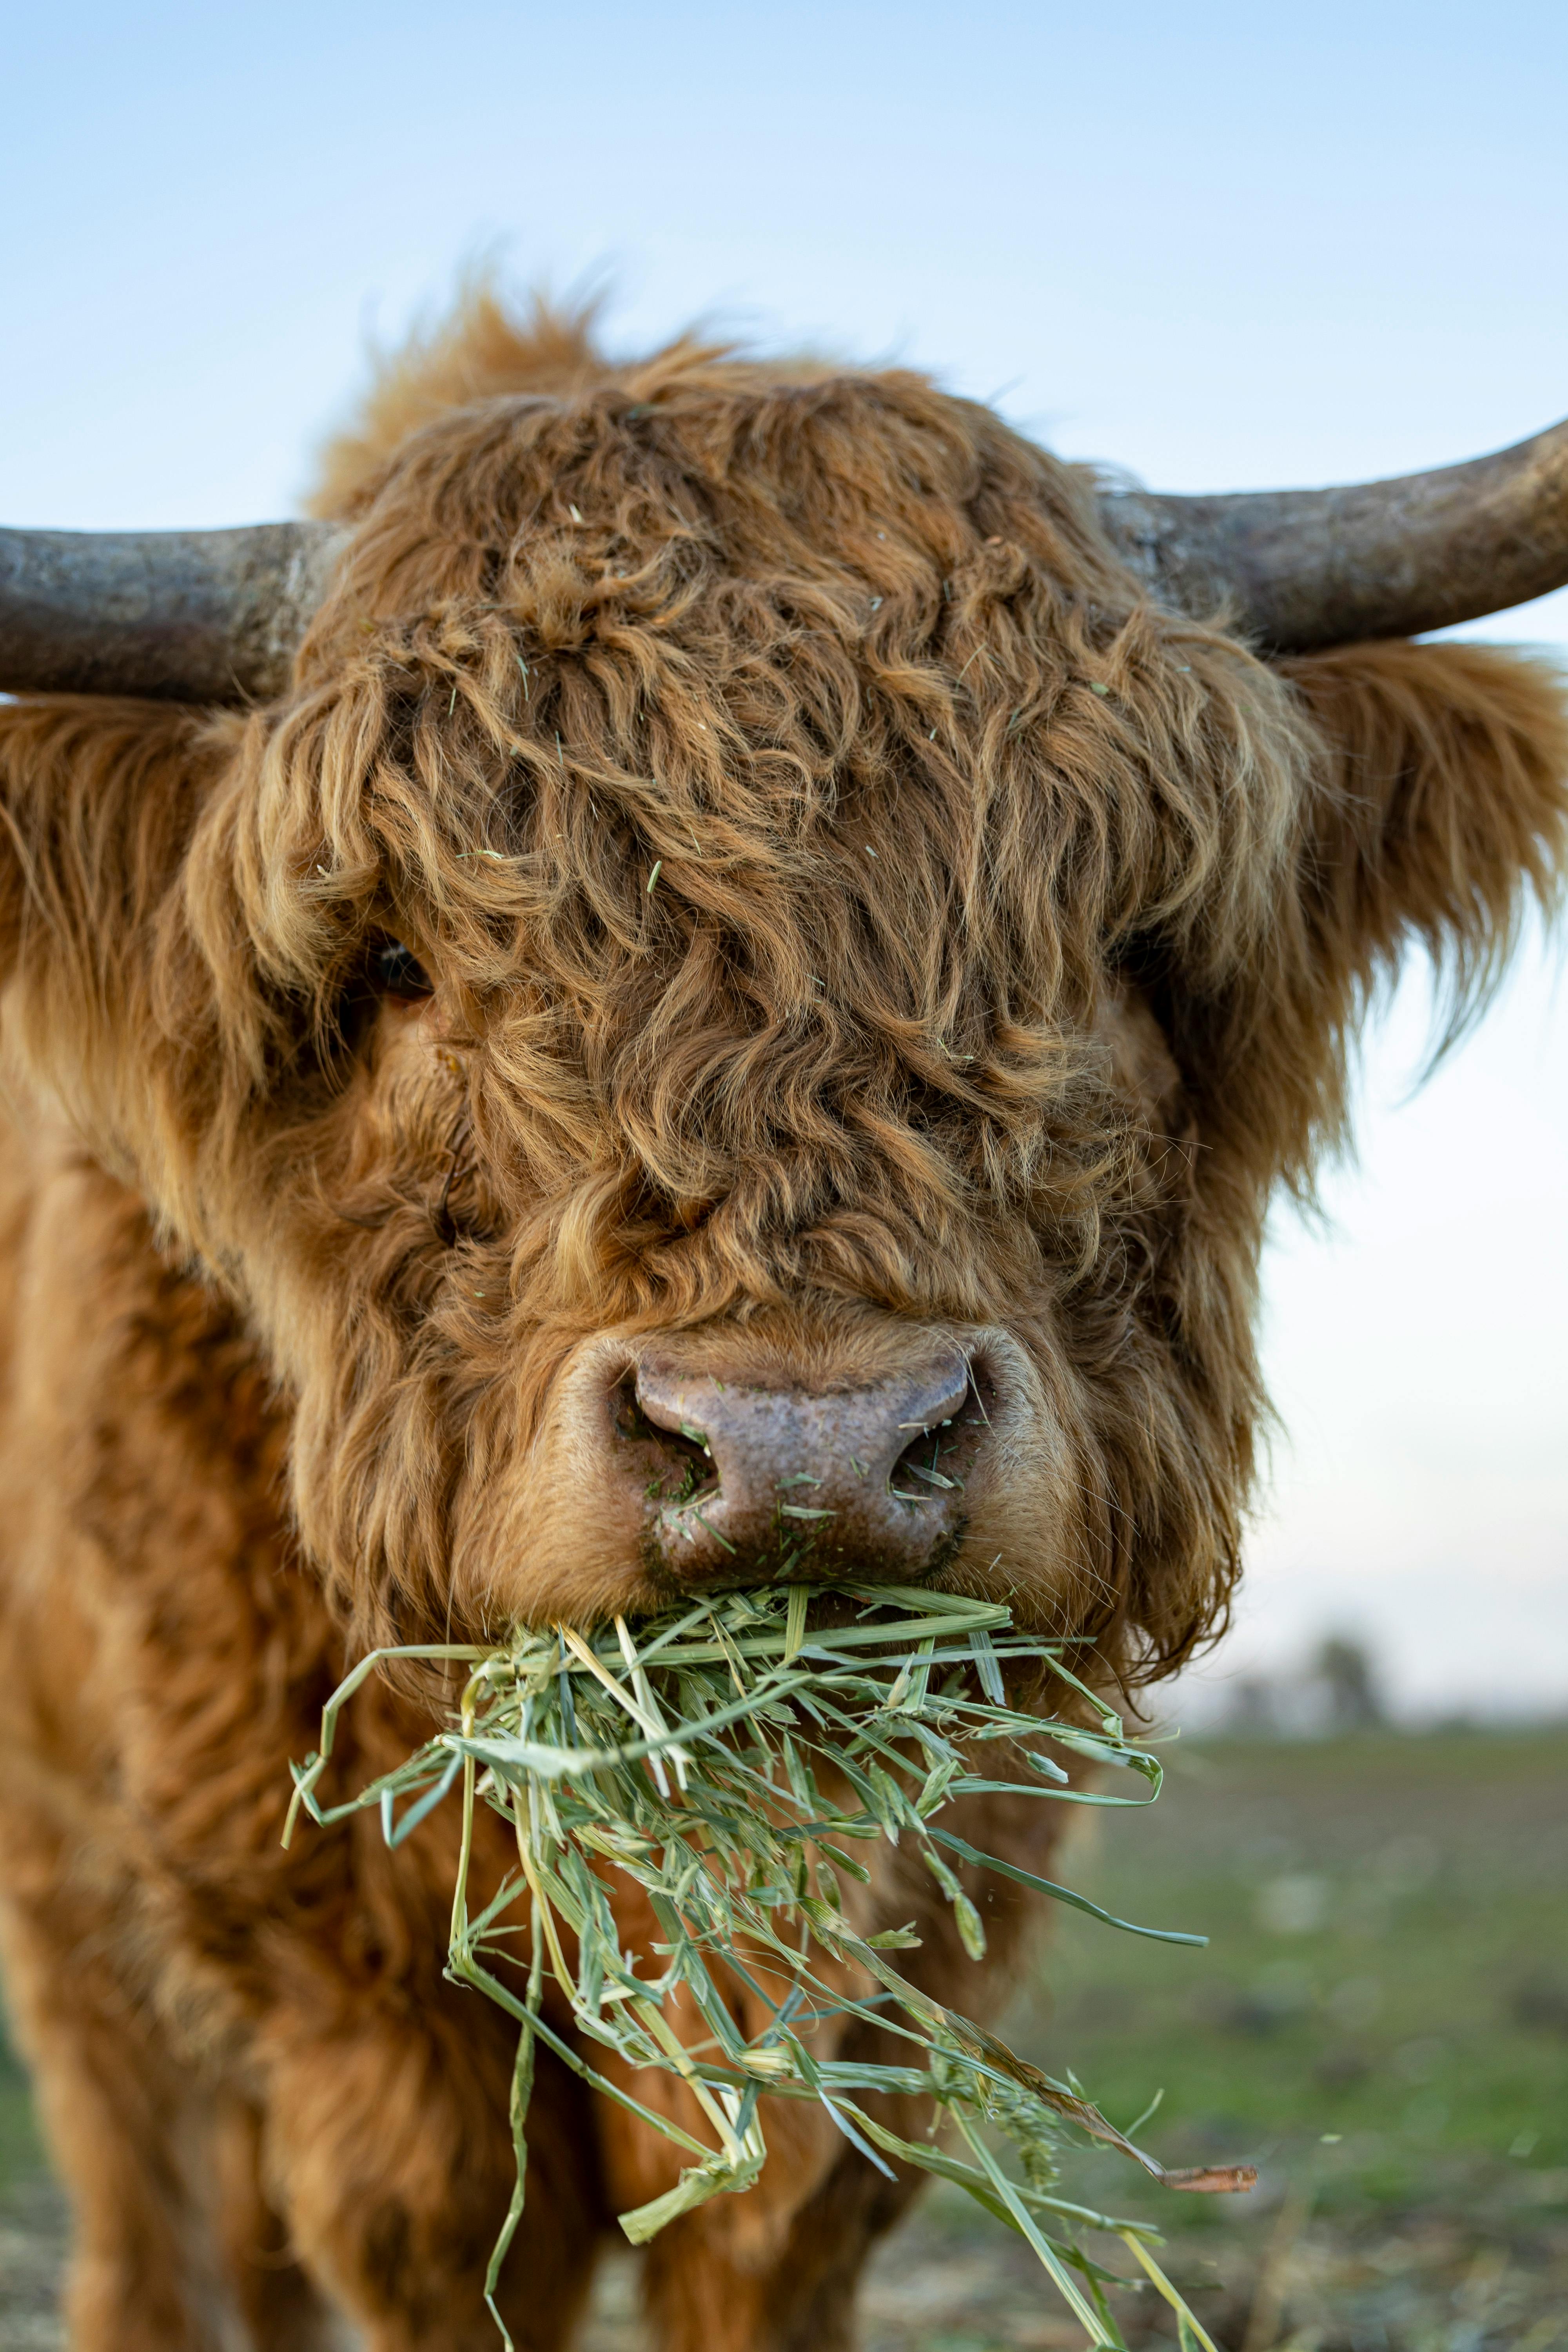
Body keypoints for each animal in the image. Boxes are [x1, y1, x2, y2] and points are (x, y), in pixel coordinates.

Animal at [0, 295, 1564, 2352]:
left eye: (1122, 948)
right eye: (398, 958)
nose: (803, 1447)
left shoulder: (930, 1894)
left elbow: (770, 2212)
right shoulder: (334, 1955)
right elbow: (448, 2237)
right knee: (149, 2205)